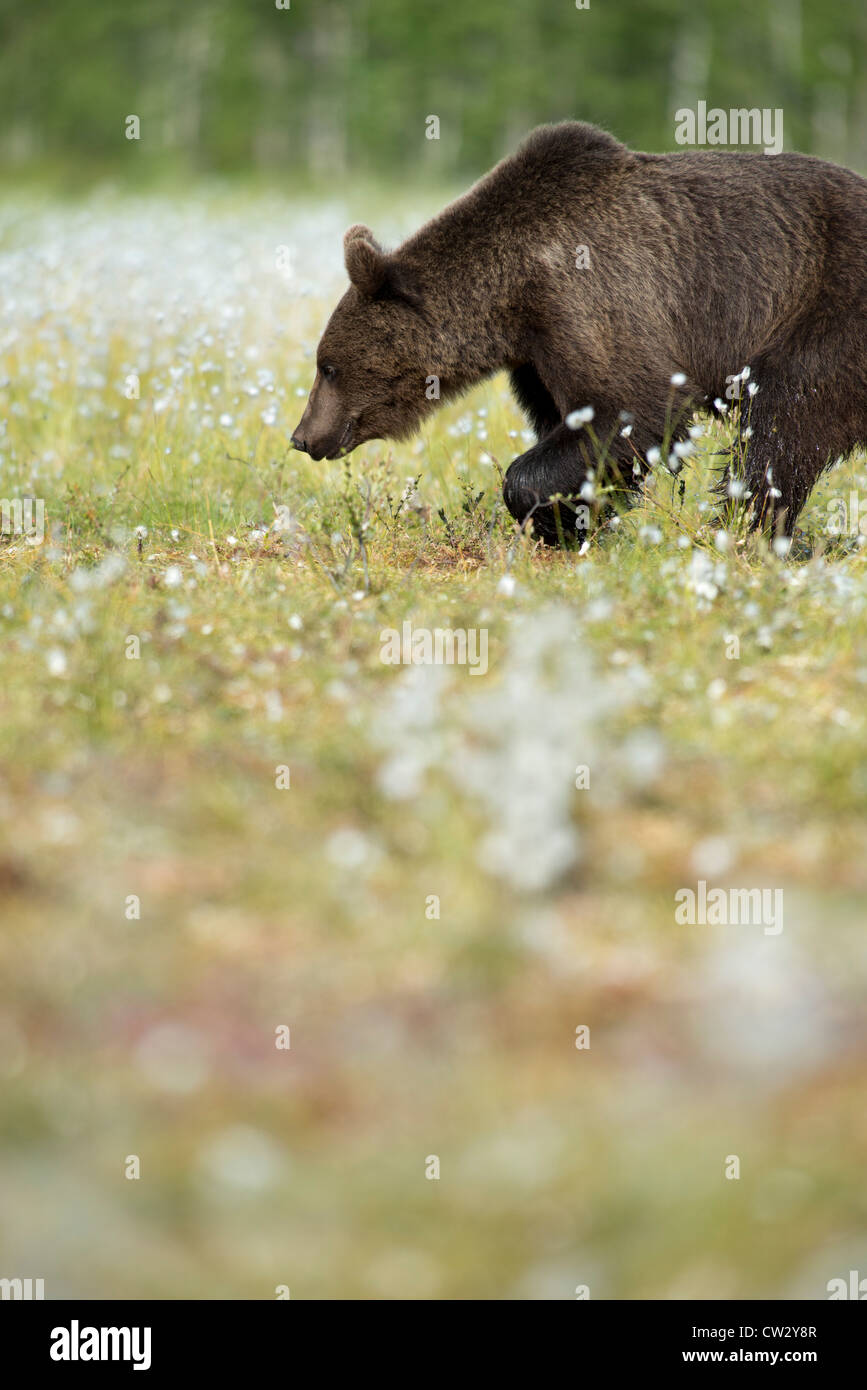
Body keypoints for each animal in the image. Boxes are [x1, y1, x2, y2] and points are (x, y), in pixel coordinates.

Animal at [291, 120, 867, 545]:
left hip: (825, 312)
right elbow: (572, 425)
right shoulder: (536, 353)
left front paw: (555, 521)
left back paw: (739, 528)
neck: (514, 293)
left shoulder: (590, 300)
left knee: (779, 424)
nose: (302, 437)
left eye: (328, 366)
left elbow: (633, 409)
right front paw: (582, 515)